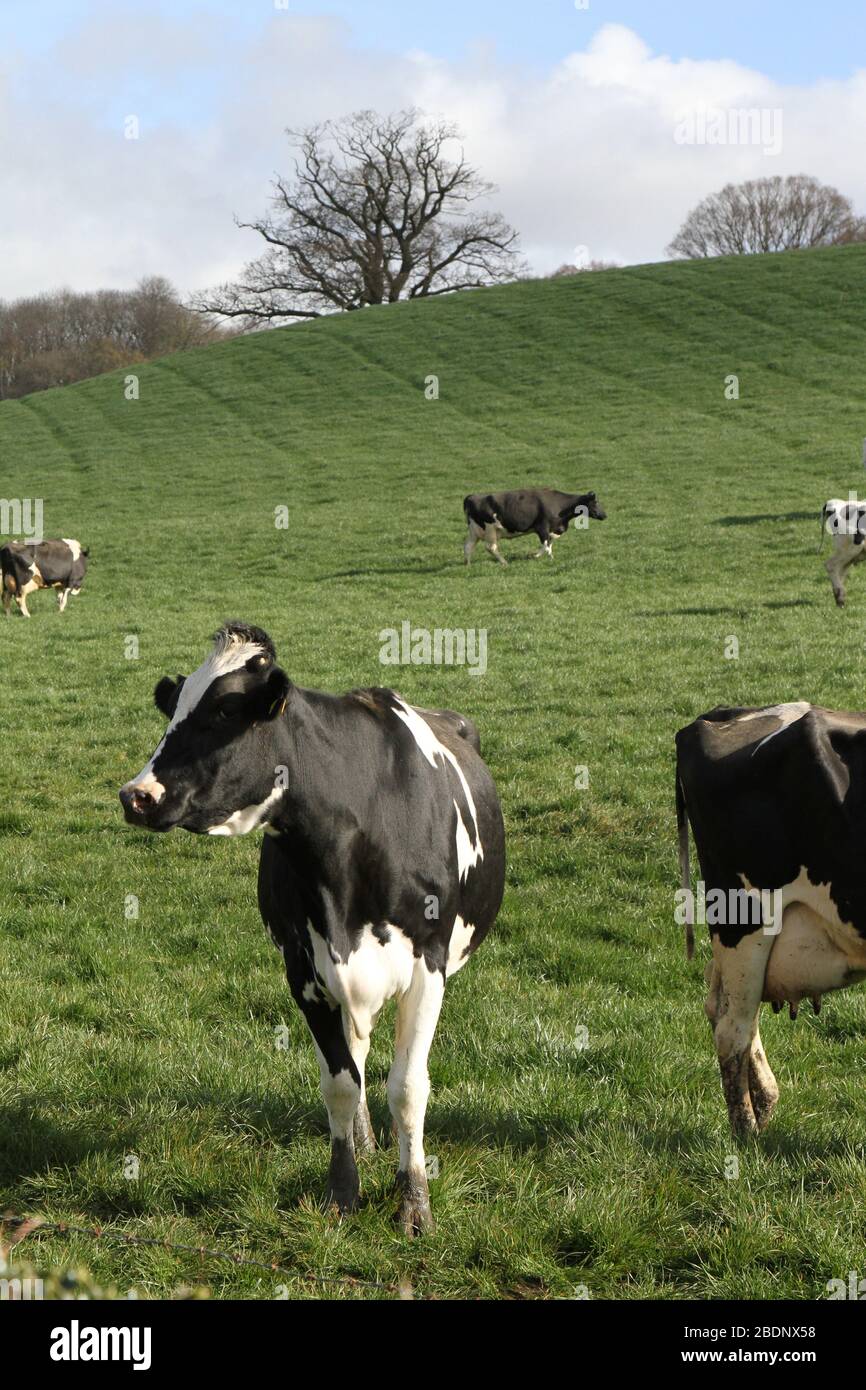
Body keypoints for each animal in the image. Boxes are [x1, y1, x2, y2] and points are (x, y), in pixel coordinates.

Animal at [119, 622, 505, 1234]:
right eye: (174, 707)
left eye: (226, 709)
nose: (135, 795)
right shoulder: (303, 969)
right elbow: (341, 1081)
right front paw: (343, 1190)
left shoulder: (429, 965)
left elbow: (408, 1088)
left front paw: (414, 1203)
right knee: (358, 1049)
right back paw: (367, 1141)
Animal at [463, 488, 607, 566]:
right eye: (595, 502)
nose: (605, 515)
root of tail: (471, 496)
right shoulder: (542, 528)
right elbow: (545, 546)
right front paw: (535, 556)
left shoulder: (552, 529)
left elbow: (549, 545)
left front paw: (550, 559)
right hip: (490, 529)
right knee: (491, 547)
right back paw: (504, 563)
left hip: (474, 531)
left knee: (468, 546)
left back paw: (468, 565)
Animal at [676, 701, 866, 1139]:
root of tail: (722, 716)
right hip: (745, 919)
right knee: (732, 1028)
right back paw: (745, 1131)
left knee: (721, 1005)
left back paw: (763, 1102)